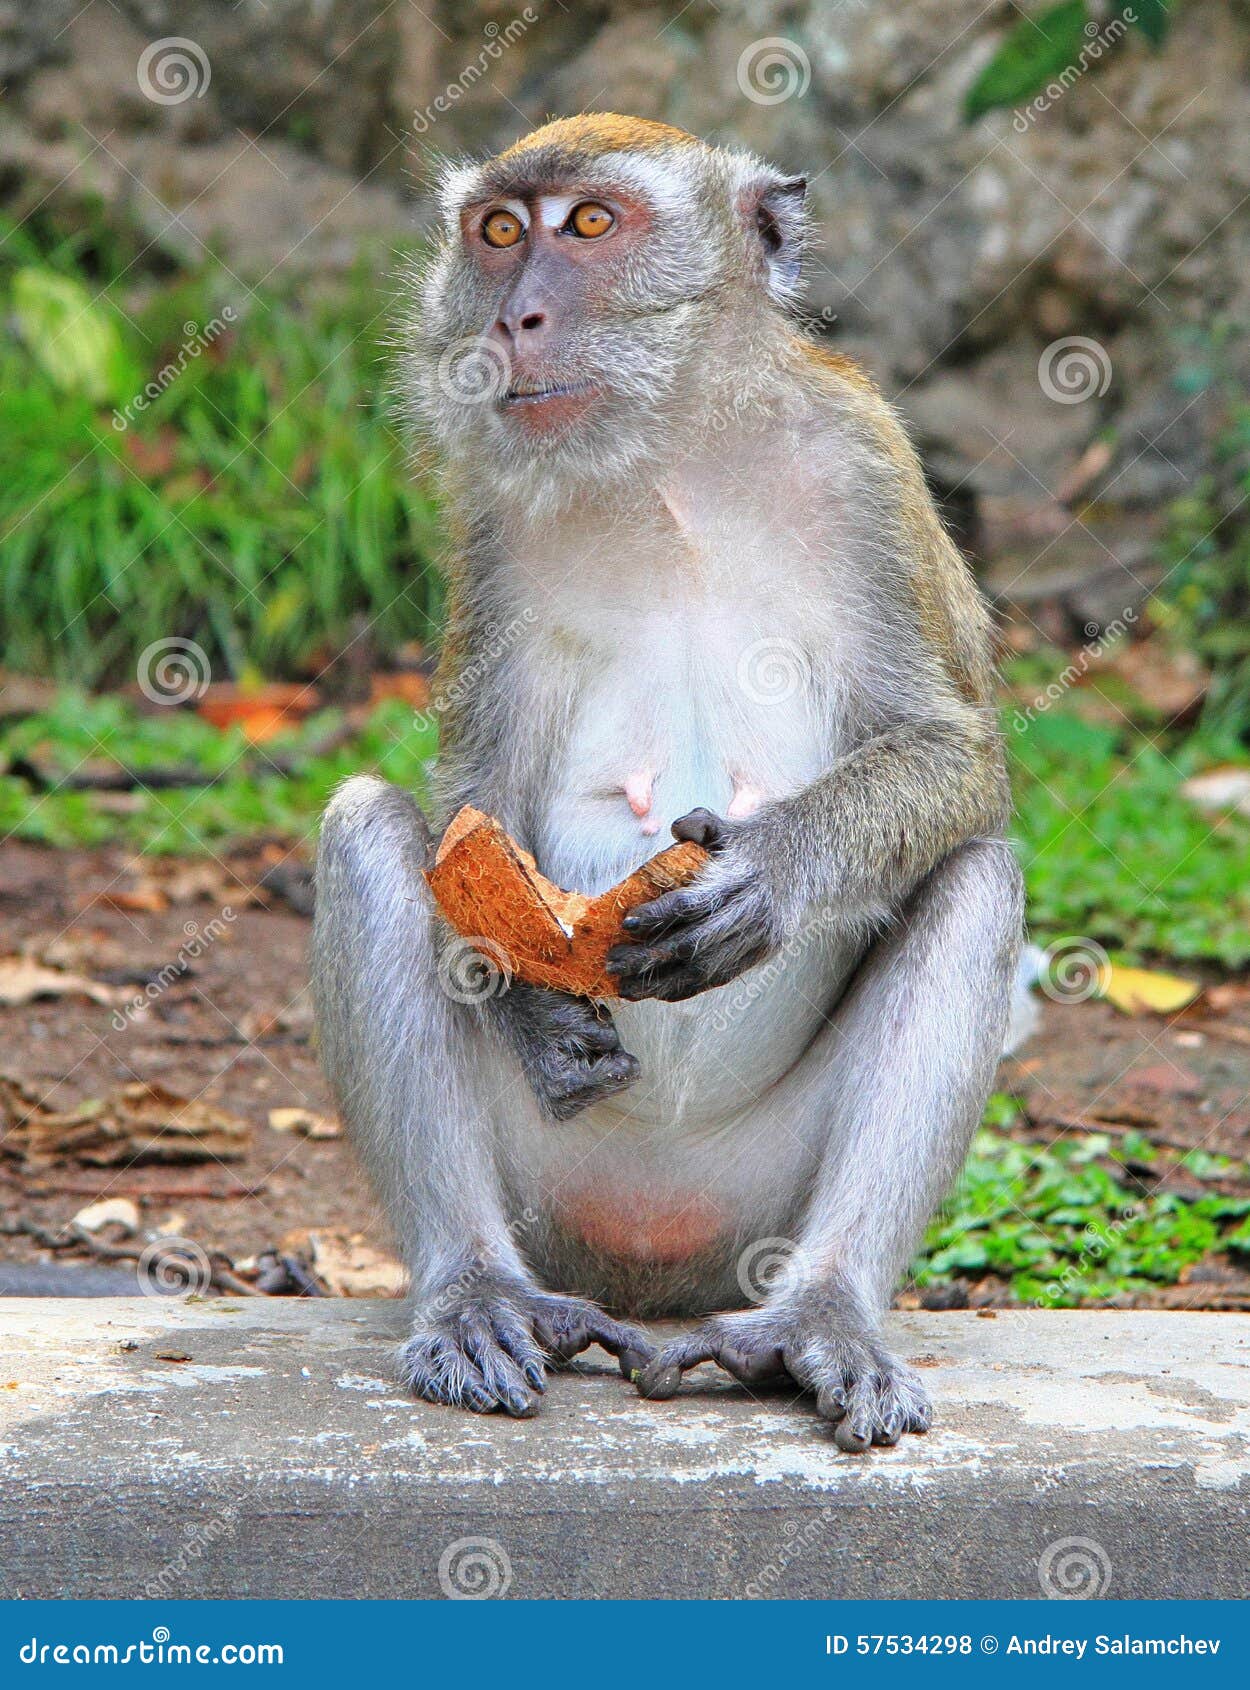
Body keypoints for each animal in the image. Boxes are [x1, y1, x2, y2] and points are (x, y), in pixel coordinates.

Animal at [311, 114, 1023, 1451]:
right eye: (498, 232)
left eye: (590, 224)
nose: (515, 315)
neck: (669, 460)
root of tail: (645, 1264)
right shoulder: (490, 524)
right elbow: (468, 802)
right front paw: (525, 992)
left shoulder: (867, 467)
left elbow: (956, 761)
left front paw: (770, 873)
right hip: (553, 1191)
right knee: (363, 831)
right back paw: (476, 1293)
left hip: (750, 1201)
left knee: (975, 879)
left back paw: (817, 1318)